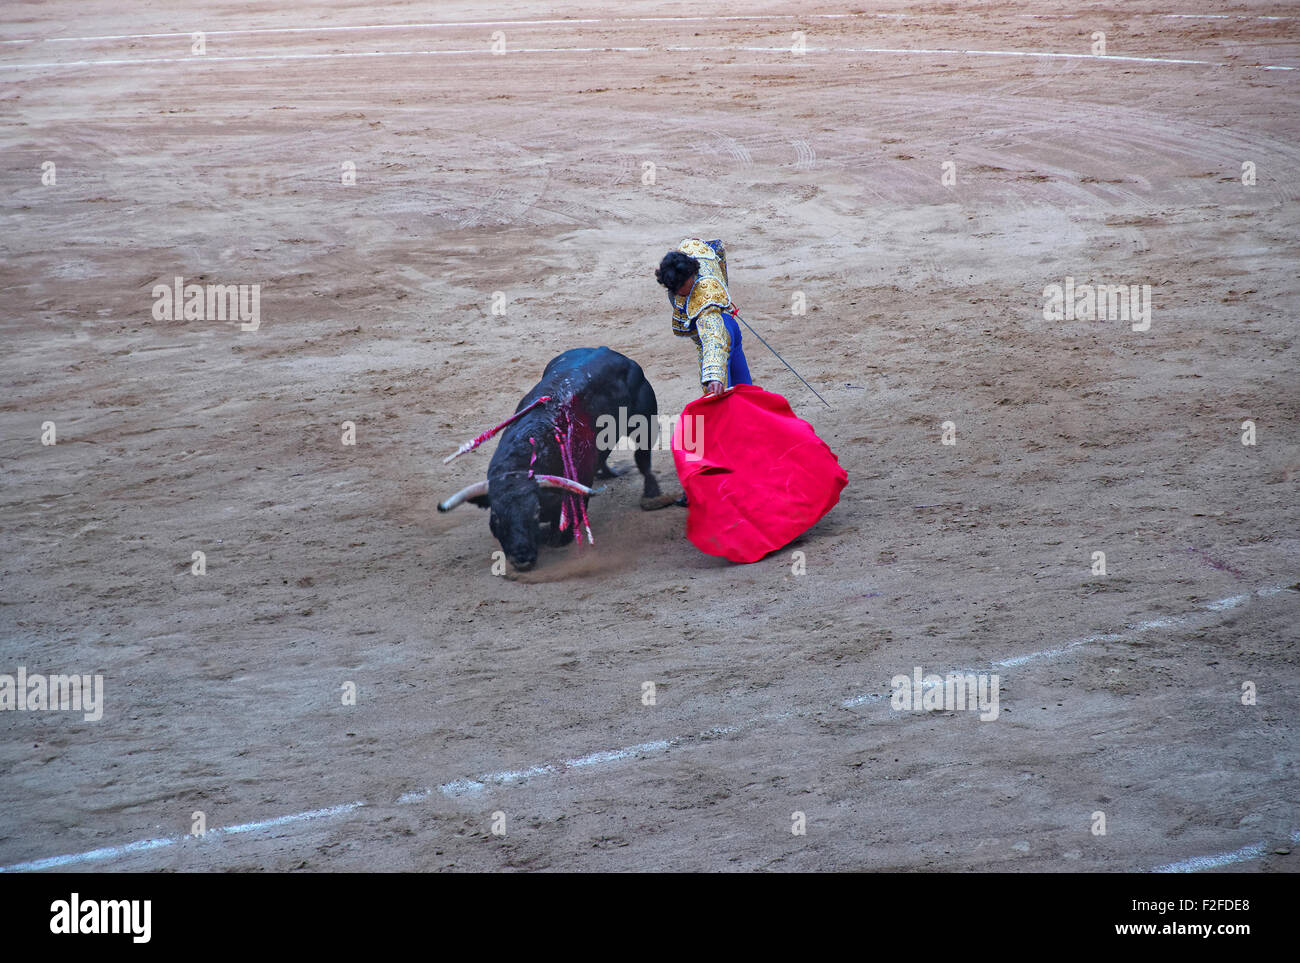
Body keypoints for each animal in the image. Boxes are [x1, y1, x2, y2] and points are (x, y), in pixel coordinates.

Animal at [437, 347, 668, 570]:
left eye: (535, 512)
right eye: (496, 518)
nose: (522, 558)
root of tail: (617, 355)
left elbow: (563, 529)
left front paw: (555, 537)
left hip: (644, 422)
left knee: (643, 459)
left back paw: (652, 495)